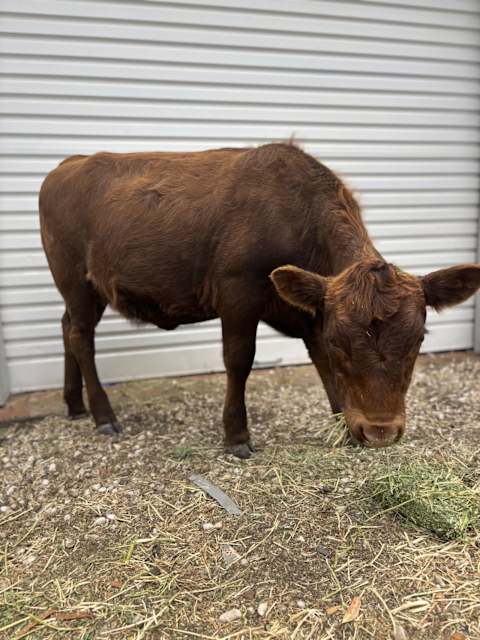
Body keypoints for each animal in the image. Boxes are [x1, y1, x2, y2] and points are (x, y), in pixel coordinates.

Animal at [39, 142, 480, 458]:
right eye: (342, 342)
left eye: (418, 340)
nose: (380, 431)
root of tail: (67, 165)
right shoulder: (238, 293)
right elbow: (240, 360)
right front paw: (236, 435)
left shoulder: (312, 306)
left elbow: (319, 360)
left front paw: (341, 420)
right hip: (76, 280)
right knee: (80, 337)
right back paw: (102, 414)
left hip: (86, 288)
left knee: (66, 328)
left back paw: (74, 404)